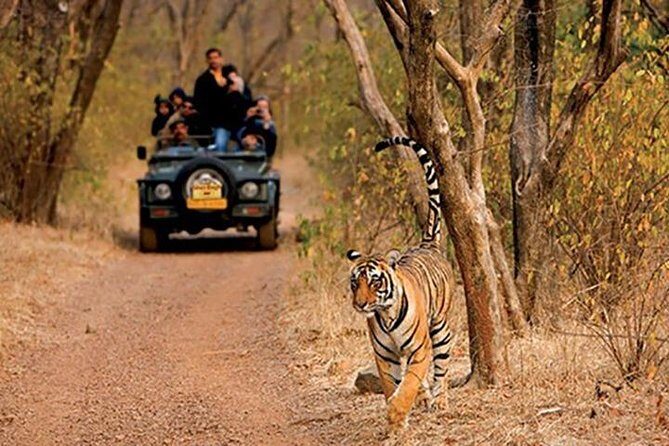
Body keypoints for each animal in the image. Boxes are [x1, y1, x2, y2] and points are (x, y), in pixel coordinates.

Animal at [346, 136, 455, 430]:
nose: (360, 305)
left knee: (441, 369)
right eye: (354, 283)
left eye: (374, 282)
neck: (385, 315)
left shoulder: (420, 348)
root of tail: (427, 244)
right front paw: (396, 420)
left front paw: (397, 413)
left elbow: (408, 383)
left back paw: (440, 401)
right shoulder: (384, 356)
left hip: (440, 327)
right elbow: (391, 384)